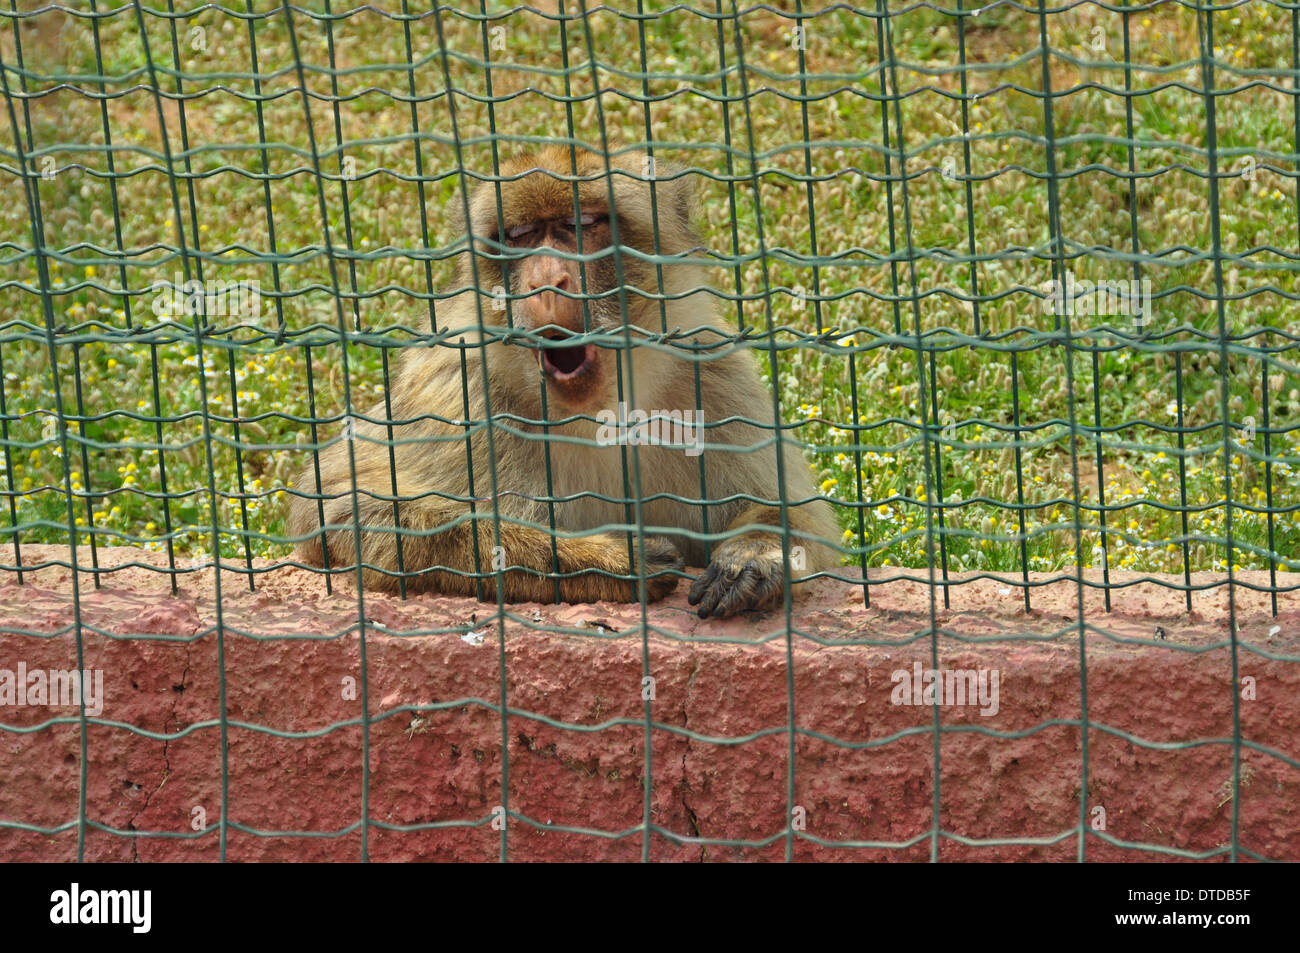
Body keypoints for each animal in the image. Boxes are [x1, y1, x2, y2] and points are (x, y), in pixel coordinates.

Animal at [287, 144, 840, 618]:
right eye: (521, 235)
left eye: (581, 225)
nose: (545, 281)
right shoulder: (451, 389)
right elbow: (342, 505)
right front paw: (605, 559)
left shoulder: (716, 378)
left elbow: (796, 517)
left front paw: (755, 554)